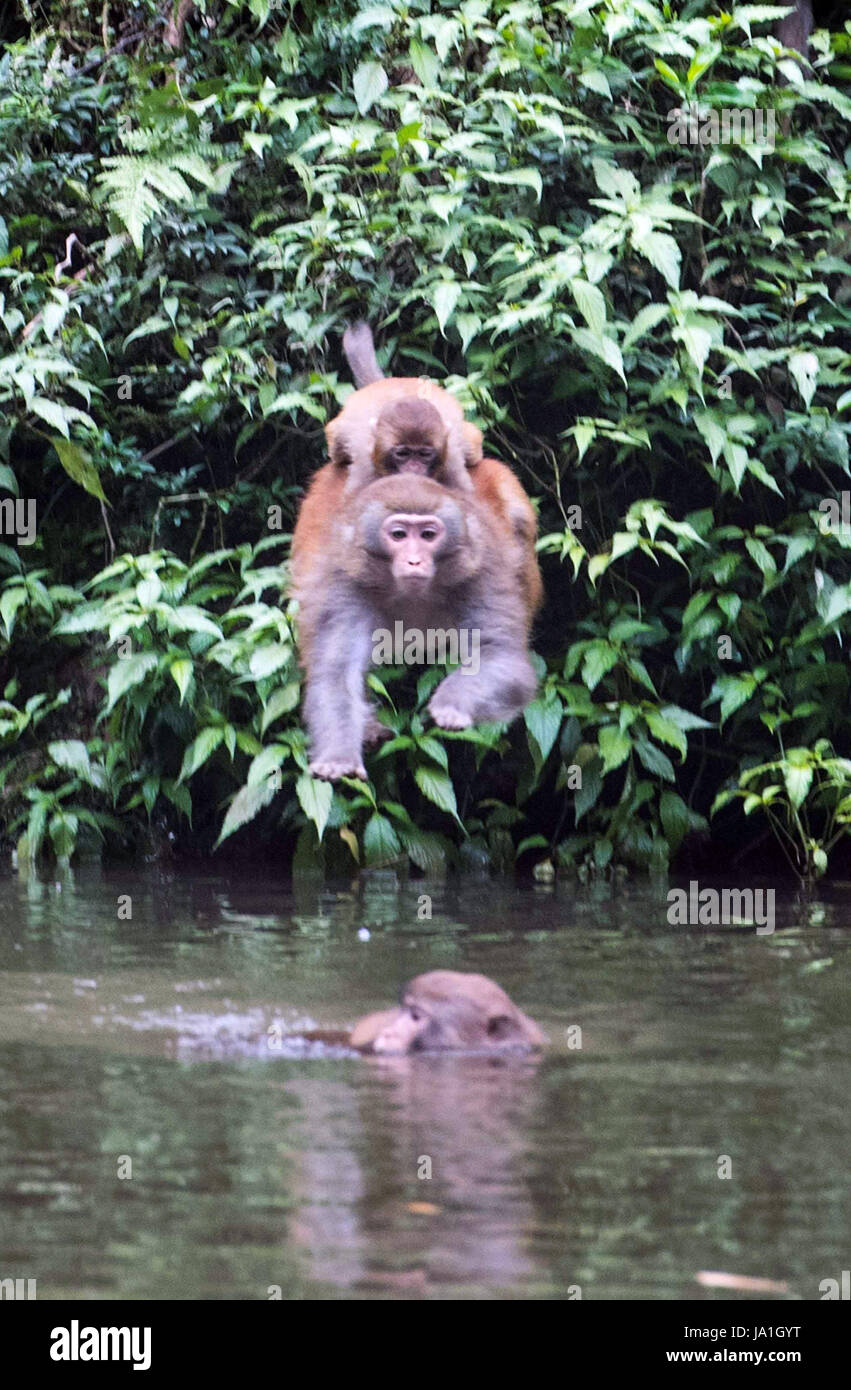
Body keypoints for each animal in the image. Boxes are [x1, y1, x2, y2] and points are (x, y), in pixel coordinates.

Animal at [291, 474, 538, 782]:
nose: (414, 560)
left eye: (428, 535)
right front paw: (338, 758)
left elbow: (500, 655)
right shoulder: (344, 580)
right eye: (399, 535)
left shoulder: (482, 571)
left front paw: (451, 705)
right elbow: (336, 671)